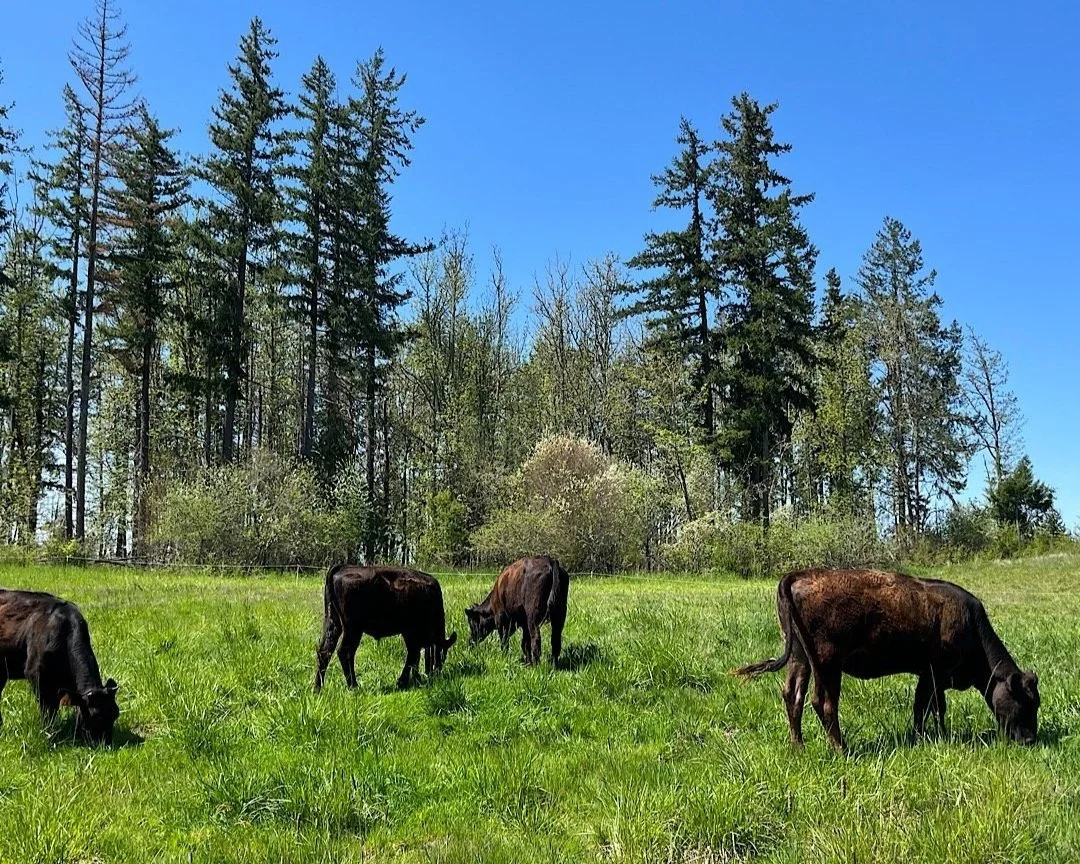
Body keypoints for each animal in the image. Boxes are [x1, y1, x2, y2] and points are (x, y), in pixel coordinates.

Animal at [0, 589, 119, 745]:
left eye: (115, 714)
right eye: (94, 717)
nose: (106, 744)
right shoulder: (37, 677)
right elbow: (48, 711)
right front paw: (49, 734)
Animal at [313, 564, 457, 692]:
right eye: (442, 654)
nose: (436, 674)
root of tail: (342, 567)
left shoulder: (410, 632)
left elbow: (414, 656)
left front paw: (415, 679)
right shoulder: (411, 631)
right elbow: (413, 654)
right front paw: (403, 682)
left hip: (333, 622)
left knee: (325, 651)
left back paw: (317, 689)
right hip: (353, 628)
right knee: (345, 651)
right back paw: (353, 686)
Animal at [735, 568, 1040, 752]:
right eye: (1024, 702)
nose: (1030, 739)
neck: (970, 625)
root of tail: (799, 575)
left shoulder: (929, 676)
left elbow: (930, 708)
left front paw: (932, 735)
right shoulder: (934, 674)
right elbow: (928, 707)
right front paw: (928, 737)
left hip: (800, 659)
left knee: (793, 696)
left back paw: (799, 746)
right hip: (827, 664)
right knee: (823, 703)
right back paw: (841, 749)